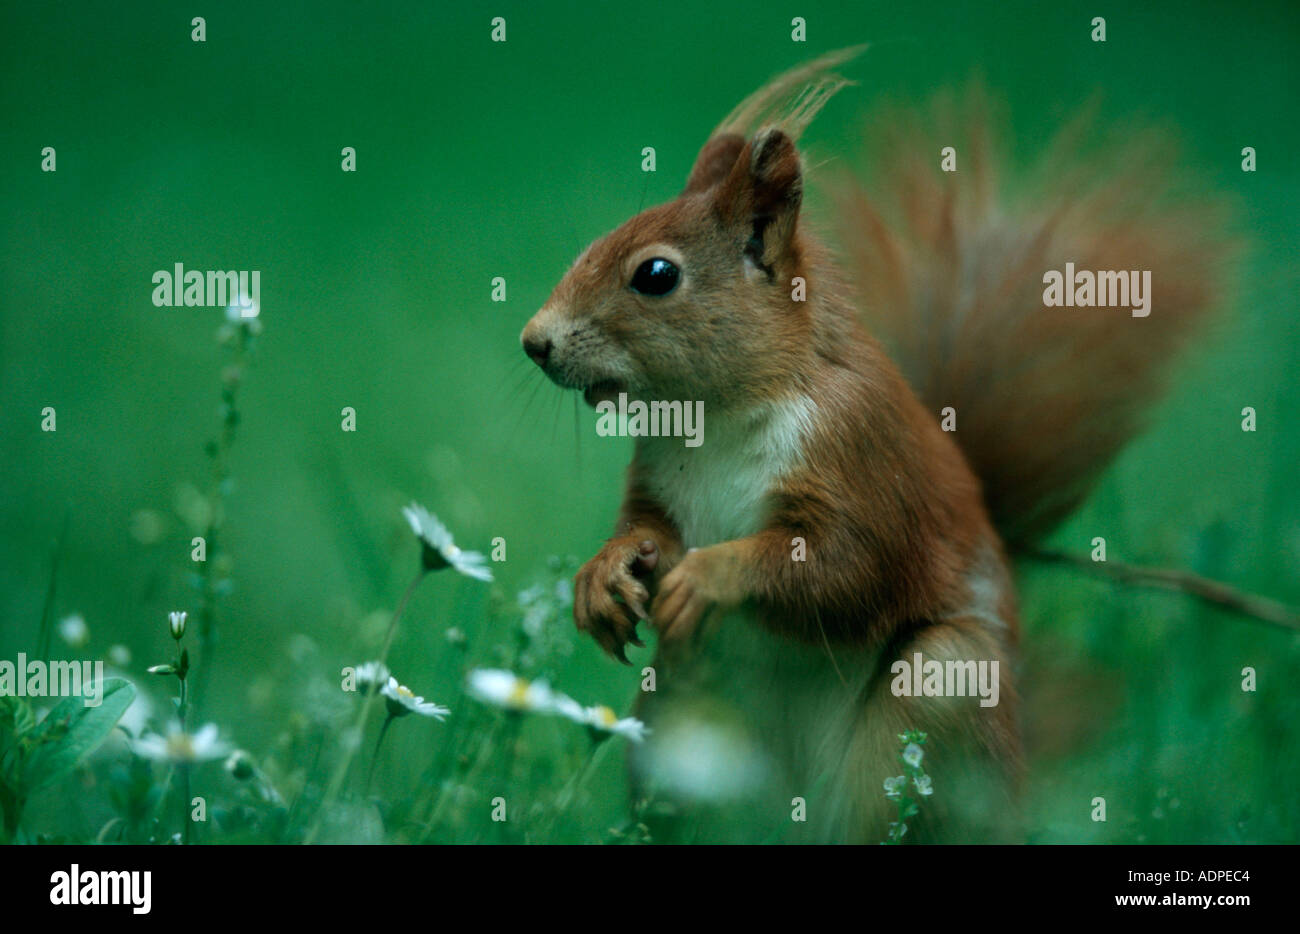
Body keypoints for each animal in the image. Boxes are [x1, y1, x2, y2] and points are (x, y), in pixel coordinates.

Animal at [520, 47, 1224, 843]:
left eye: (656, 275)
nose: (535, 342)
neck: (717, 416)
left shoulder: (860, 458)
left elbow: (847, 567)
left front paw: (709, 575)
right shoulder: (658, 474)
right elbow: (646, 528)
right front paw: (603, 575)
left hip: (935, 700)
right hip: (681, 716)